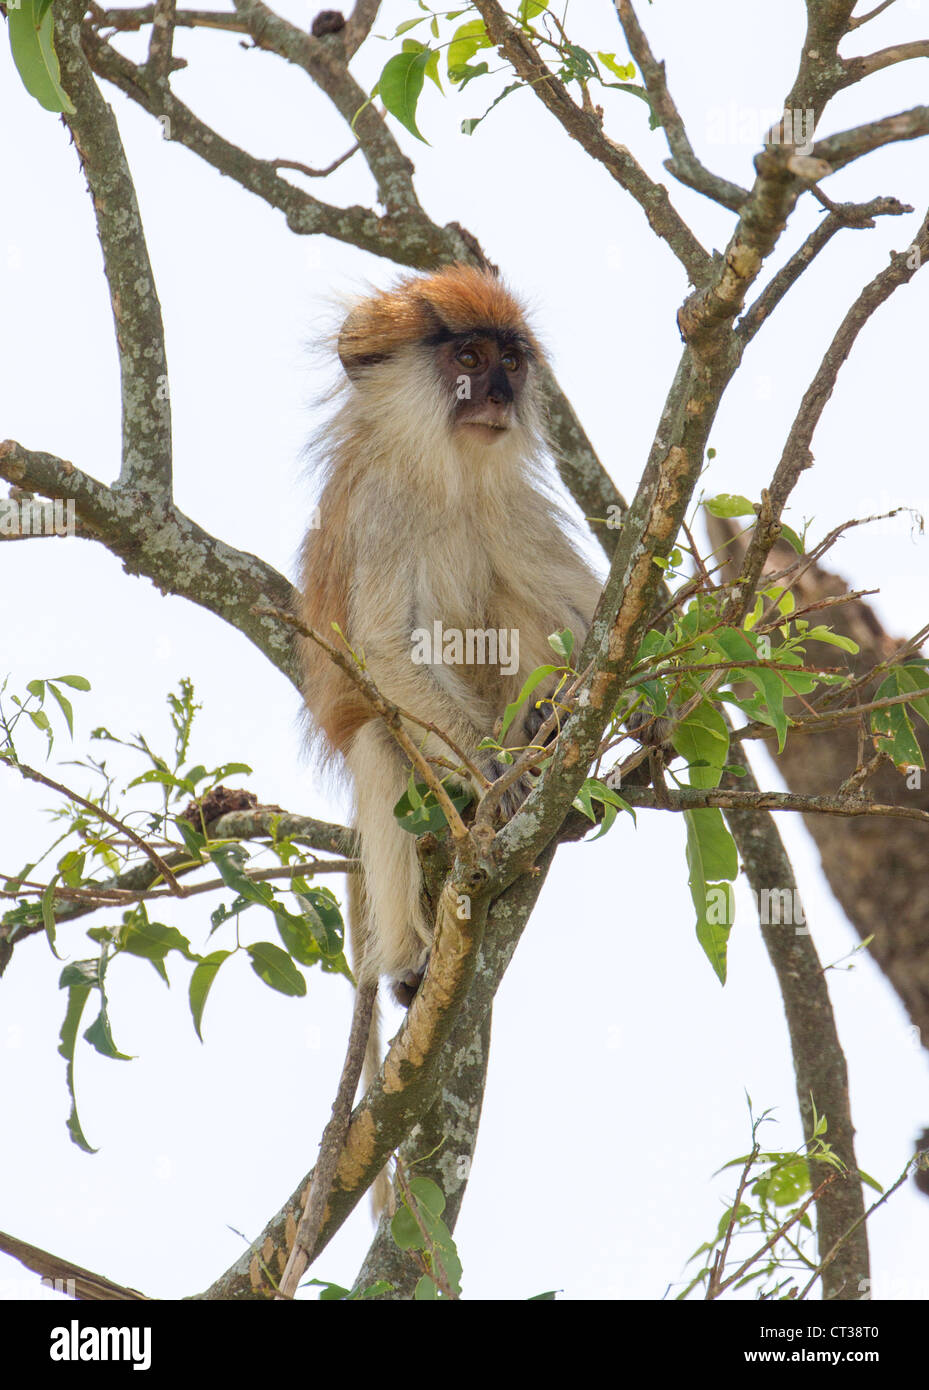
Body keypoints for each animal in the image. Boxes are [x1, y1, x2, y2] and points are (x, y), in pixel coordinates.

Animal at [299, 265, 603, 1023]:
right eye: (467, 357)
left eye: (511, 361)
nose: (497, 395)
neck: (447, 474)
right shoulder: (380, 506)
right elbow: (385, 652)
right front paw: (497, 775)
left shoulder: (506, 498)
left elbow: (591, 609)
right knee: (381, 743)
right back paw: (411, 962)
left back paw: (547, 717)